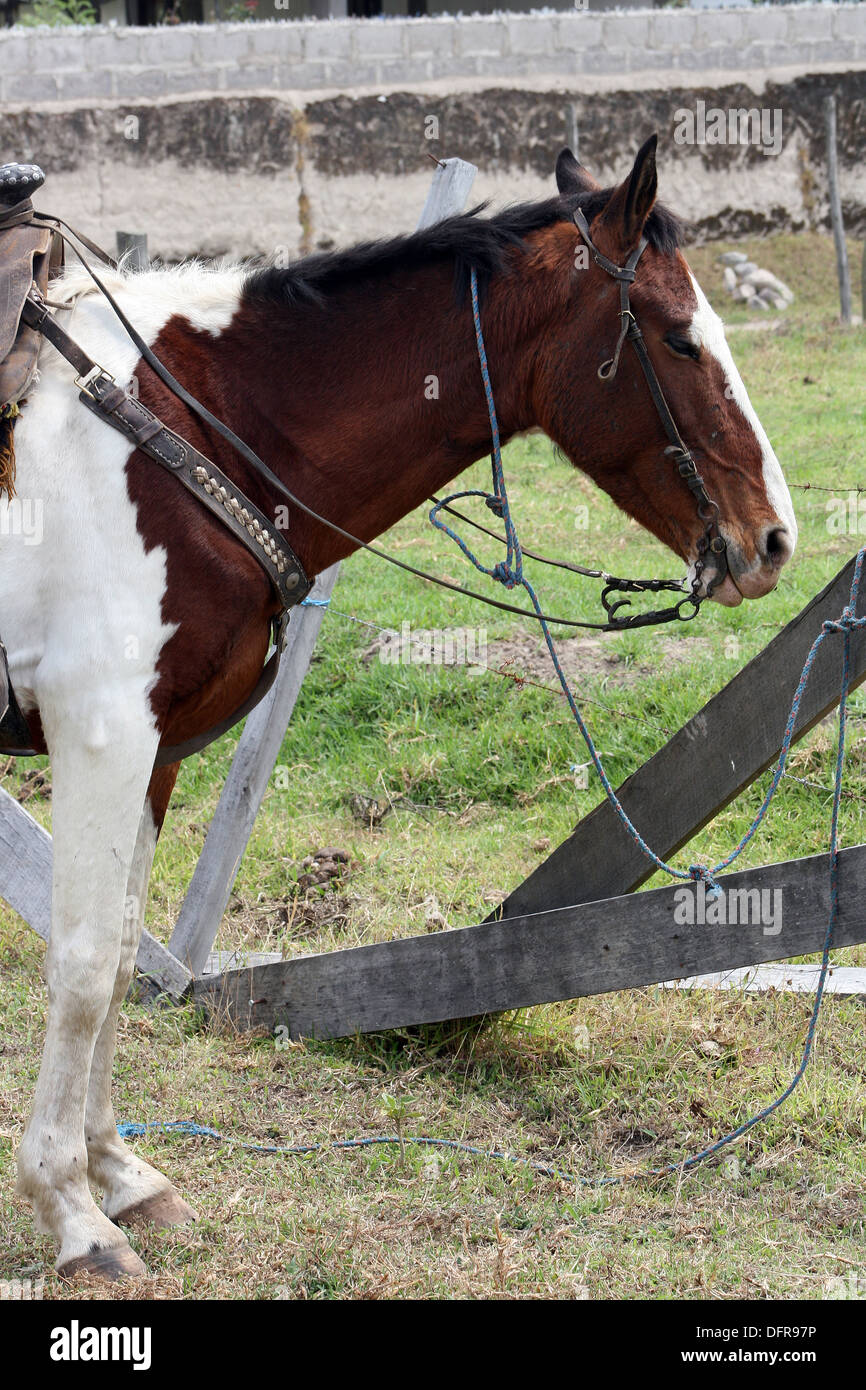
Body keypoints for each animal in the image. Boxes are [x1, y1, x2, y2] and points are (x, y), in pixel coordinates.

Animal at [3, 141, 795, 1278]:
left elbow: (114, 955)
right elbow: (75, 965)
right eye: (681, 336)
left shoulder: (156, 748)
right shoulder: (100, 730)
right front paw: (71, 1209)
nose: (772, 538)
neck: (186, 420)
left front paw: (123, 1175)